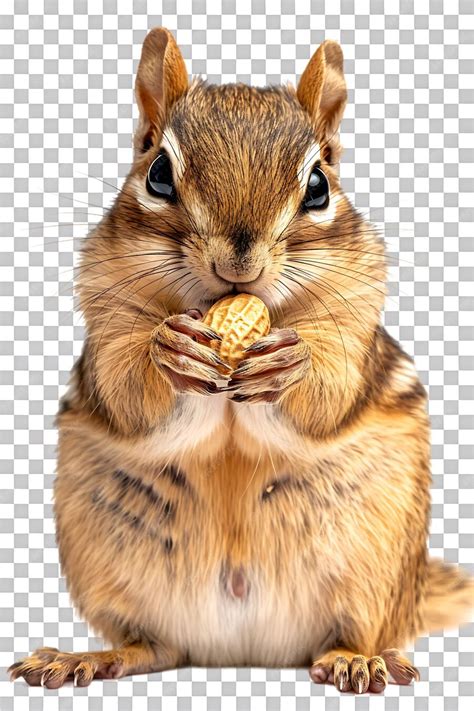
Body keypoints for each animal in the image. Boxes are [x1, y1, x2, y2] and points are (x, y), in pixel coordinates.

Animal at [9, 27, 473, 693]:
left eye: (318, 186)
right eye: (157, 174)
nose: (239, 265)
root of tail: (240, 649)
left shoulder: (357, 327)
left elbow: (329, 394)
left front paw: (292, 362)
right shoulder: (106, 319)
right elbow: (126, 390)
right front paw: (167, 350)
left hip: (374, 569)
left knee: (352, 632)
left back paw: (358, 659)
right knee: (151, 646)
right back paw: (89, 658)